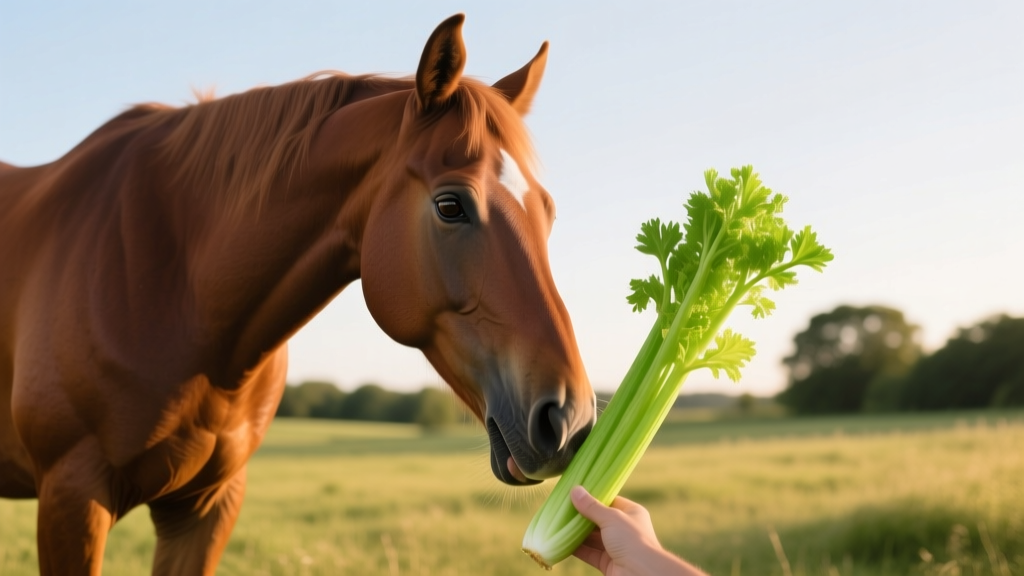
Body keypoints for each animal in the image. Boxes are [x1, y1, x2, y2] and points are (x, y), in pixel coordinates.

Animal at [0, 14, 595, 575]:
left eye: (547, 212)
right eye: (451, 205)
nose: (569, 421)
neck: (171, 288)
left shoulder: (207, 507)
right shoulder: (72, 500)